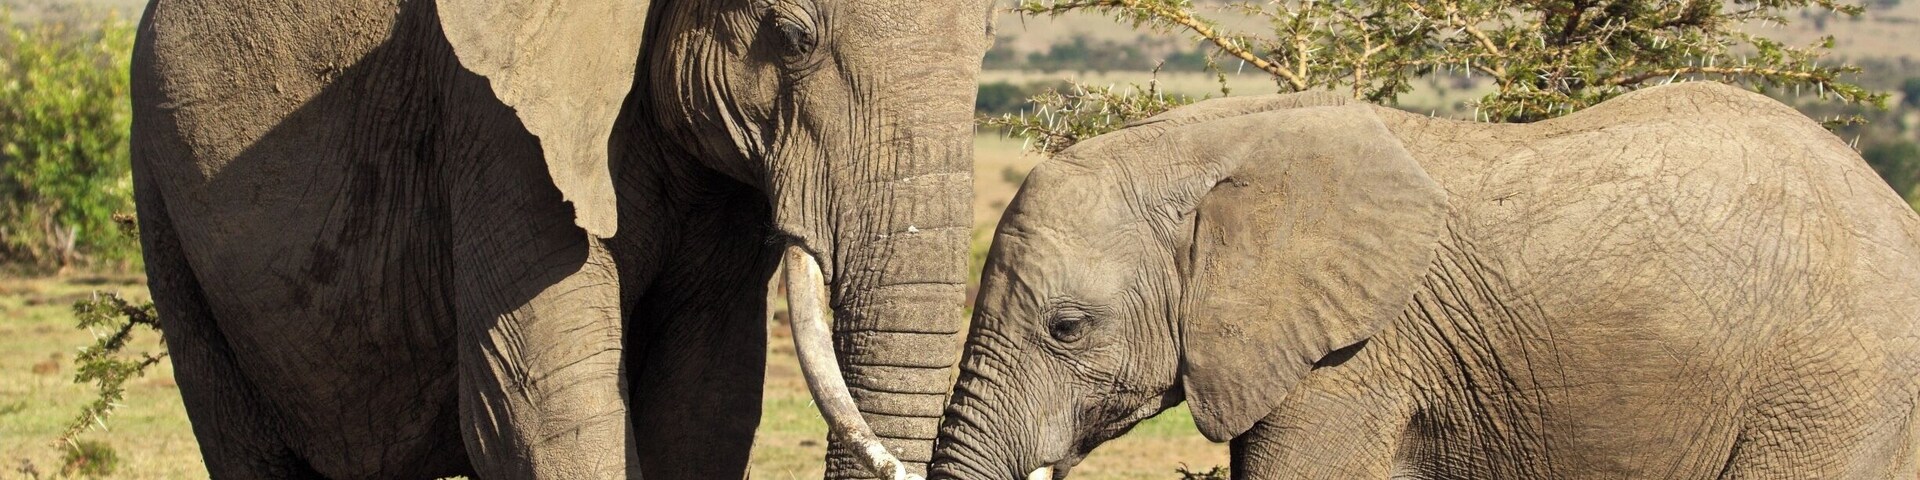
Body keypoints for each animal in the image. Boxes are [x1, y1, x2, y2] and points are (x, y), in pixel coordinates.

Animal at [130, 0, 992, 477]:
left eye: (987, 41)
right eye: (790, 34)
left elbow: (702, 404)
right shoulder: (493, 125)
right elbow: (538, 407)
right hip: (163, 194)